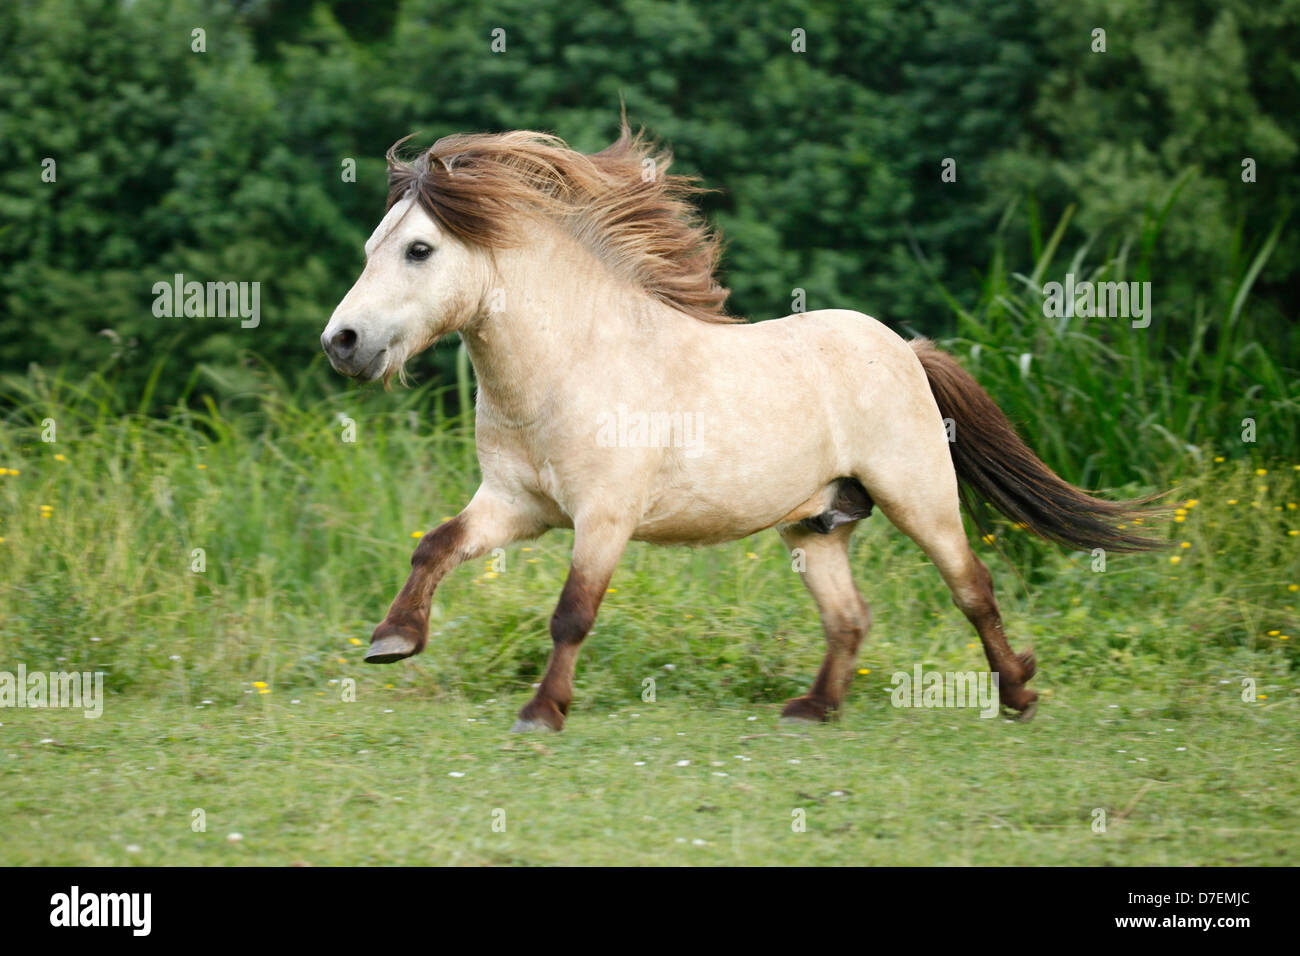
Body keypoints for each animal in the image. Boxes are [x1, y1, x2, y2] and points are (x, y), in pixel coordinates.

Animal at [320, 122, 1159, 731]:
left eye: (419, 249)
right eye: (370, 248)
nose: (342, 343)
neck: (571, 365)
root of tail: (905, 349)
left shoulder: (604, 516)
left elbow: (572, 613)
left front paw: (541, 712)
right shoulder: (516, 506)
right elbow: (436, 546)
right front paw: (393, 640)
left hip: (920, 497)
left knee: (972, 589)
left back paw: (1018, 694)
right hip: (816, 524)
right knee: (849, 617)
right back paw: (814, 709)